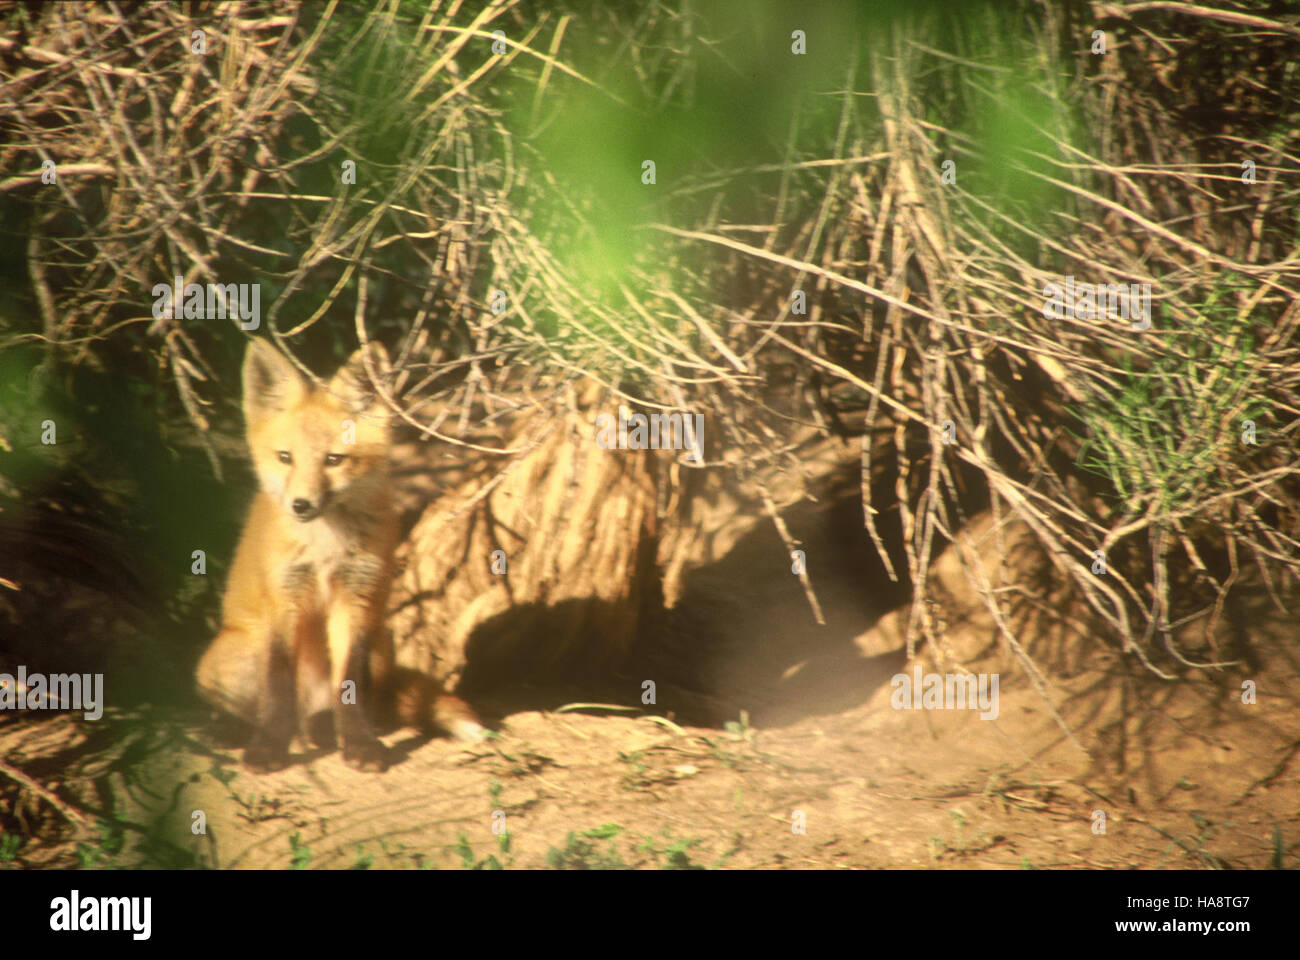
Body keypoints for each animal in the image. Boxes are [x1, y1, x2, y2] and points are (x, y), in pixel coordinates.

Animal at [196, 338, 484, 773]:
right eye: (285, 457)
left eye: (334, 460)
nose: (300, 505)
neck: (324, 548)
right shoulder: (283, 600)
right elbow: (277, 686)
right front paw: (268, 747)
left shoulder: (357, 598)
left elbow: (349, 686)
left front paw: (360, 743)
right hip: (234, 655)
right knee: (264, 705)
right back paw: (238, 729)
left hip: (379, 645)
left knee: (341, 706)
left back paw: (322, 727)